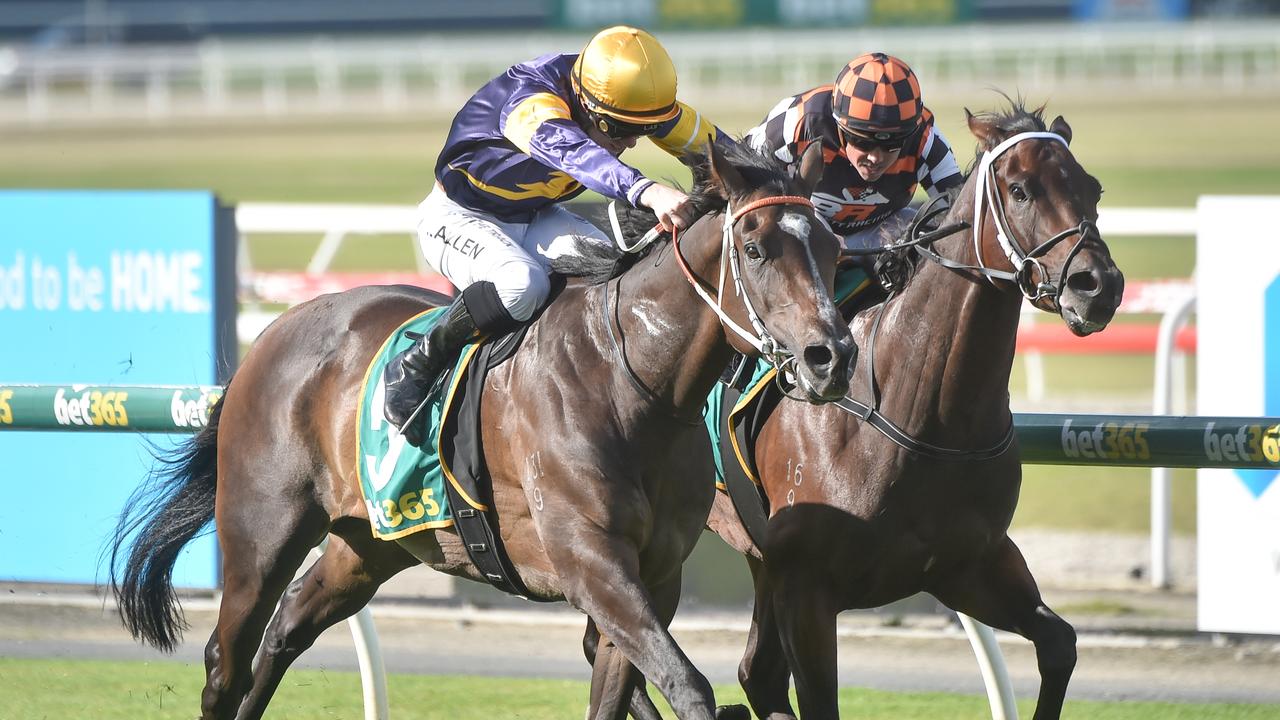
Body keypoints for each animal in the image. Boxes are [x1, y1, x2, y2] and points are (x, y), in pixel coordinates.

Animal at [107, 139, 858, 720]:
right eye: (756, 249)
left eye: (832, 244)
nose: (832, 356)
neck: (631, 381)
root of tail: (273, 331)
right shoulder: (591, 560)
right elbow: (686, 683)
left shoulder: (653, 573)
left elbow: (616, 690)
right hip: (263, 530)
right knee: (226, 659)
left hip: (369, 543)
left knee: (286, 630)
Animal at [597, 101, 1125, 719]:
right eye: (1019, 189)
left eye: (1092, 188)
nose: (1098, 286)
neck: (925, 412)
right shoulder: (807, 589)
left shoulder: (968, 565)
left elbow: (1059, 644)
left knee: (752, 673)